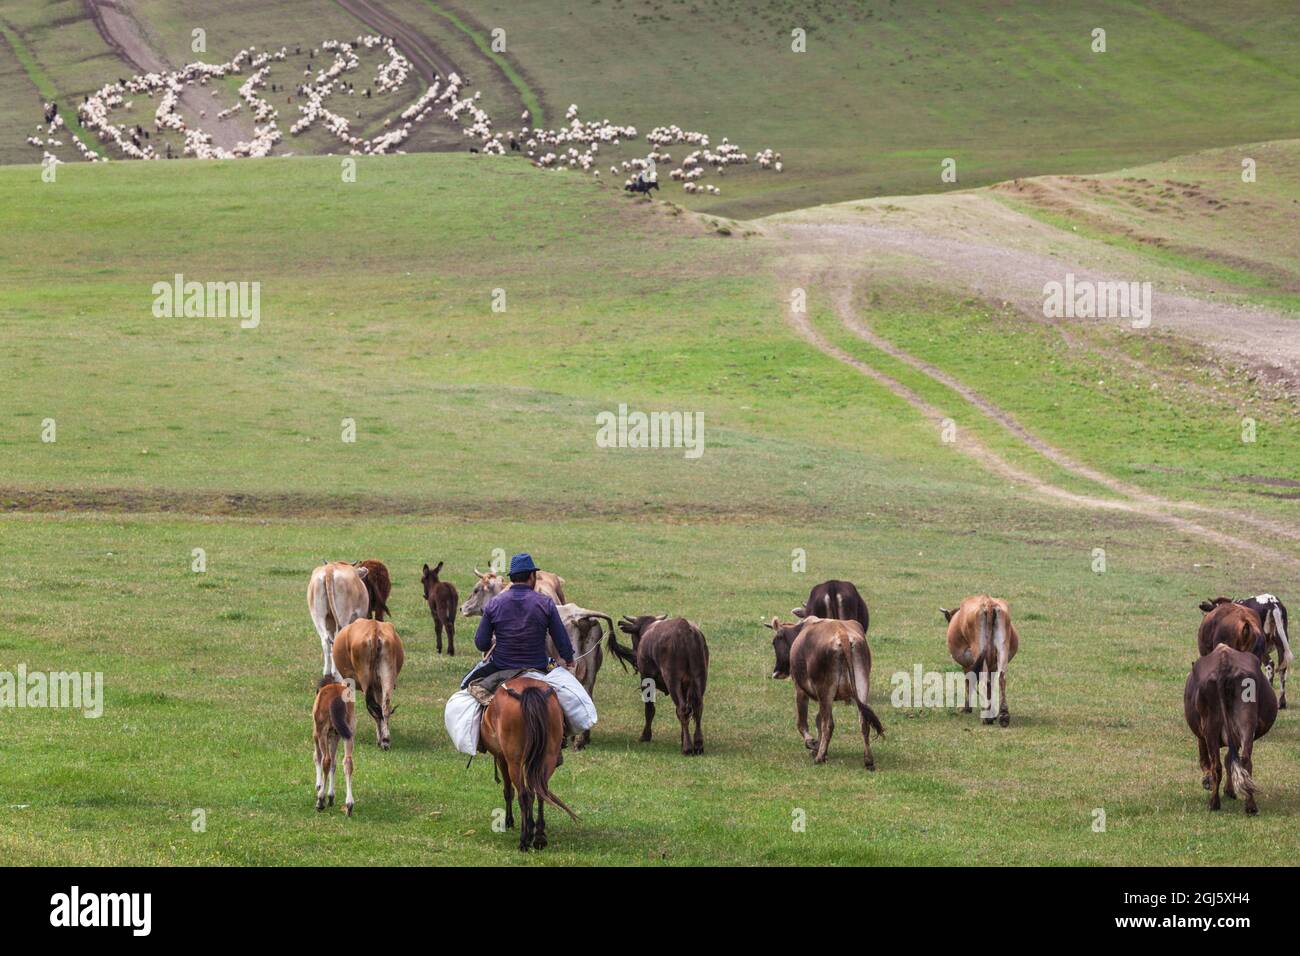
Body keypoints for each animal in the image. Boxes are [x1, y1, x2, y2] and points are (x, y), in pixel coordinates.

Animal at [332, 618, 404, 750]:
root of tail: (374, 628)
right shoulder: (378, 687)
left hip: (365, 679)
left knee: (374, 710)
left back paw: (381, 740)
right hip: (387, 677)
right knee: (384, 708)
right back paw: (385, 740)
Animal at [607, 616, 708, 755]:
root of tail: (685, 630)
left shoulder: (646, 679)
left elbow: (649, 709)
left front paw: (645, 735)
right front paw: (682, 737)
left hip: (673, 680)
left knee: (682, 709)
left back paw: (687, 747)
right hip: (699, 678)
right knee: (697, 708)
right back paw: (698, 744)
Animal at [763, 616, 884, 767]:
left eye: (774, 642)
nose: (776, 672)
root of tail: (842, 633)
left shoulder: (800, 689)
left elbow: (802, 723)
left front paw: (813, 744)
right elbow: (818, 719)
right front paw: (821, 748)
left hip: (825, 690)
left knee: (828, 724)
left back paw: (819, 758)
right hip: (861, 687)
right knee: (863, 722)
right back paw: (868, 760)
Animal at [940, 595, 1020, 726]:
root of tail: (989, 603)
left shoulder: (967, 664)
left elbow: (969, 682)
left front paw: (967, 708)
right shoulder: (993, 666)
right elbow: (991, 685)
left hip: (979, 652)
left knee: (983, 680)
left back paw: (986, 717)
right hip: (1002, 649)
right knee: (1001, 679)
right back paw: (1003, 715)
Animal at [1184, 644, 1277, 814]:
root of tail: (1224, 663)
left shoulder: (1201, 736)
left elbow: (1206, 759)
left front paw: (1209, 782)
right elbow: (1230, 759)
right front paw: (1229, 790)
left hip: (1210, 727)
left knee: (1216, 765)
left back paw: (1214, 803)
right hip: (1246, 722)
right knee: (1245, 761)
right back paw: (1250, 806)